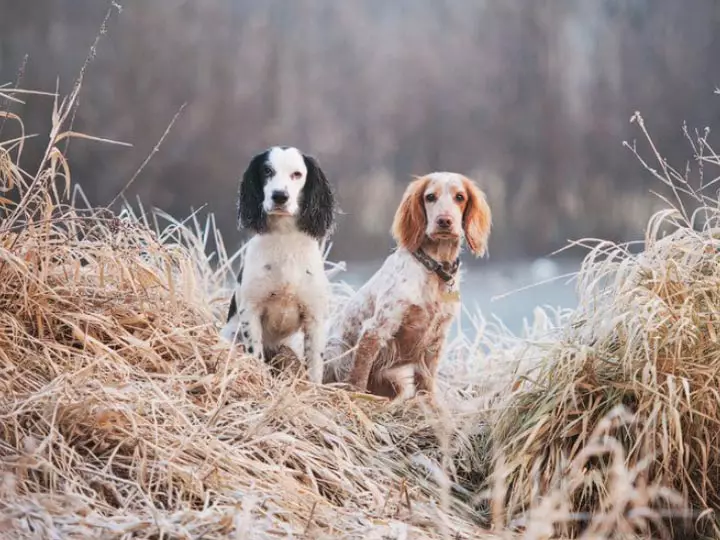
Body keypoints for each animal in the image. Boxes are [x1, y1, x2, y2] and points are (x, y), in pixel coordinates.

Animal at [221, 146, 336, 382]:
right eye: (267, 170)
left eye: (297, 174)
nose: (280, 196)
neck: (285, 241)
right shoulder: (251, 310)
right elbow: (255, 353)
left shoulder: (315, 317)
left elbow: (315, 366)